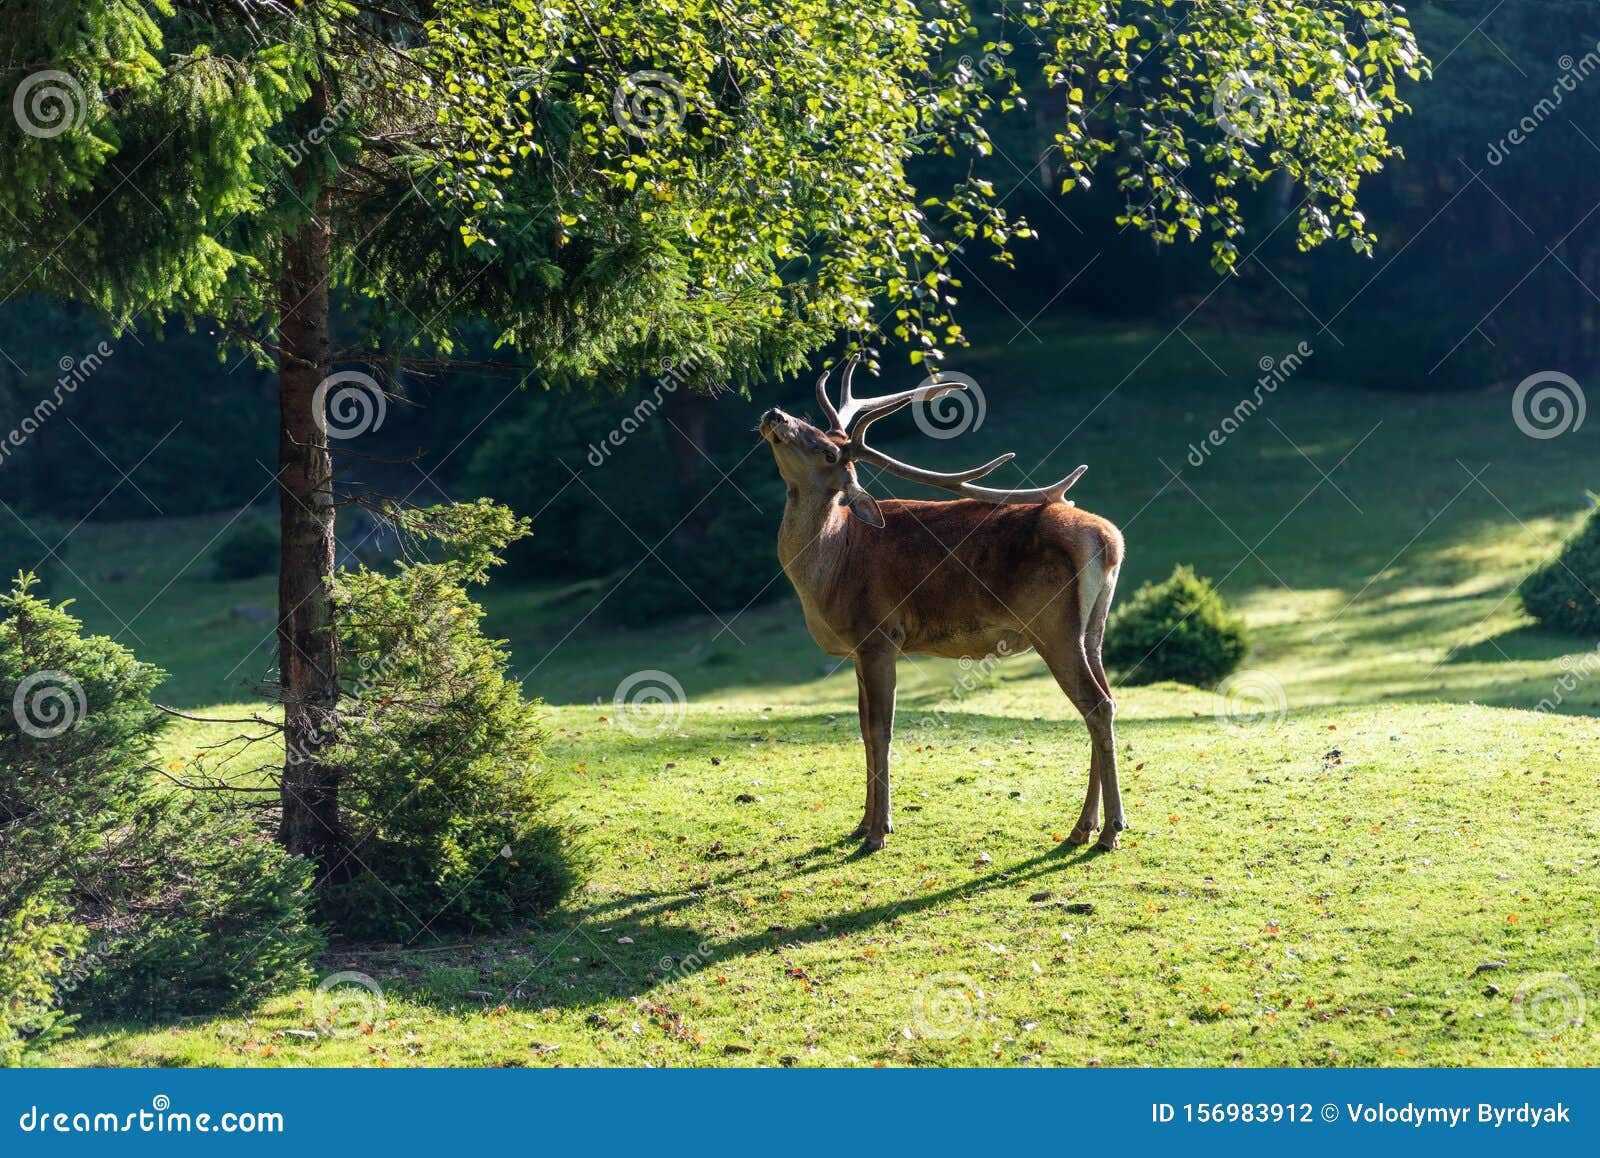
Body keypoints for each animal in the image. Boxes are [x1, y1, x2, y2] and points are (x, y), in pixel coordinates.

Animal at [759, 357, 1126, 852]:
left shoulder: (880, 635)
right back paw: (1082, 827)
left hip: (1054, 626)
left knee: (1097, 705)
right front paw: (860, 823)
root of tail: (1109, 540)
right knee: (1105, 700)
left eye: (830, 453)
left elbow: (882, 729)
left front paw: (878, 832)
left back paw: (1110, 829)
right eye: (813, 426)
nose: (775, 414)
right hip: (1093, 629)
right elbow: (863, 729)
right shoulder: (857, 650)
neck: (833, 563)